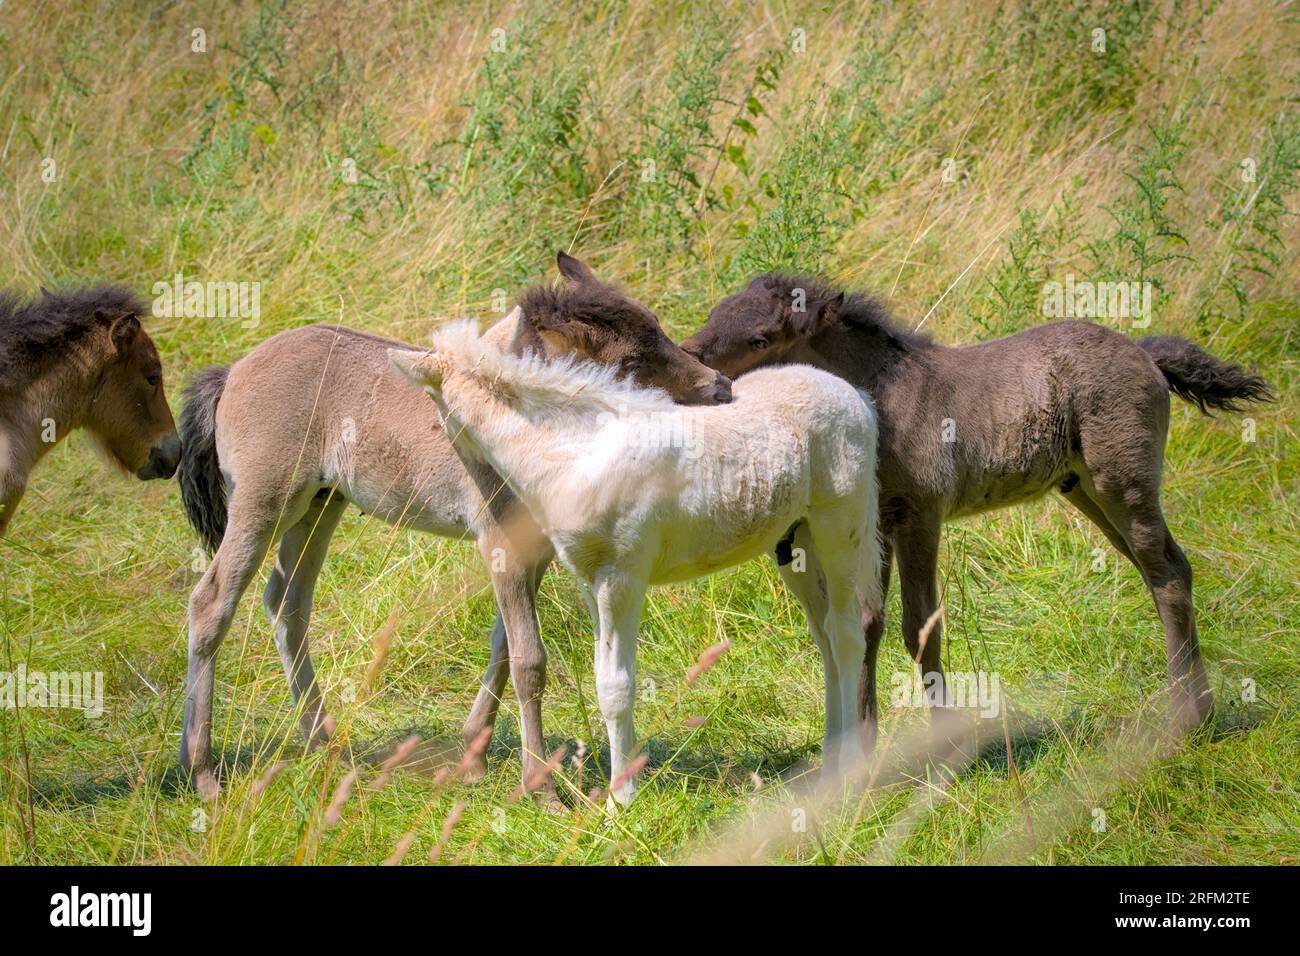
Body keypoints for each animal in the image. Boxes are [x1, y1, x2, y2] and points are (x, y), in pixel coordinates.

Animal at [175, 252, 731, 800]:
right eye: (629, 364)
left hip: (320, 504)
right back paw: (202, 772)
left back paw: (324, 745)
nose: (720, 386)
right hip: (264, 501)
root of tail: (233, 372)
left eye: (656, 325)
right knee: (212, 602)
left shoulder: (535, 551)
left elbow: (504, 647)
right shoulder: (501, 544)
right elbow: (529, 660)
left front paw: (473, 758)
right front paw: (541, 788)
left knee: (287, 604)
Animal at [390, 320, 883, 805]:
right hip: (797, 544)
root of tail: (854, 394)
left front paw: (619, 802)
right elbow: (602, 676)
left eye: (434, 405)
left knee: (846, 635)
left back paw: (849, 774)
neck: (577, 452)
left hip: (839, 530)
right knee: (823, 638)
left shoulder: (621, 577)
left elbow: (617, 685)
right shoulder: (589, 580)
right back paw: (827, 768)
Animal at [681, 273, 1274, 744]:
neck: (880, 401)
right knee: (1159, 571)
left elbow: (920, 626)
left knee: (1169, 571)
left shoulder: (918, 514)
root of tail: (1145, 352)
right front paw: (863, 746)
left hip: (1122, 480)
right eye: (714, 314)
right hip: (1084, 489)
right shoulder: (873, 526)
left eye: (760, 337)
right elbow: (867, 623)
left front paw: (941, 743)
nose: (691, 362)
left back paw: (1188, 720)